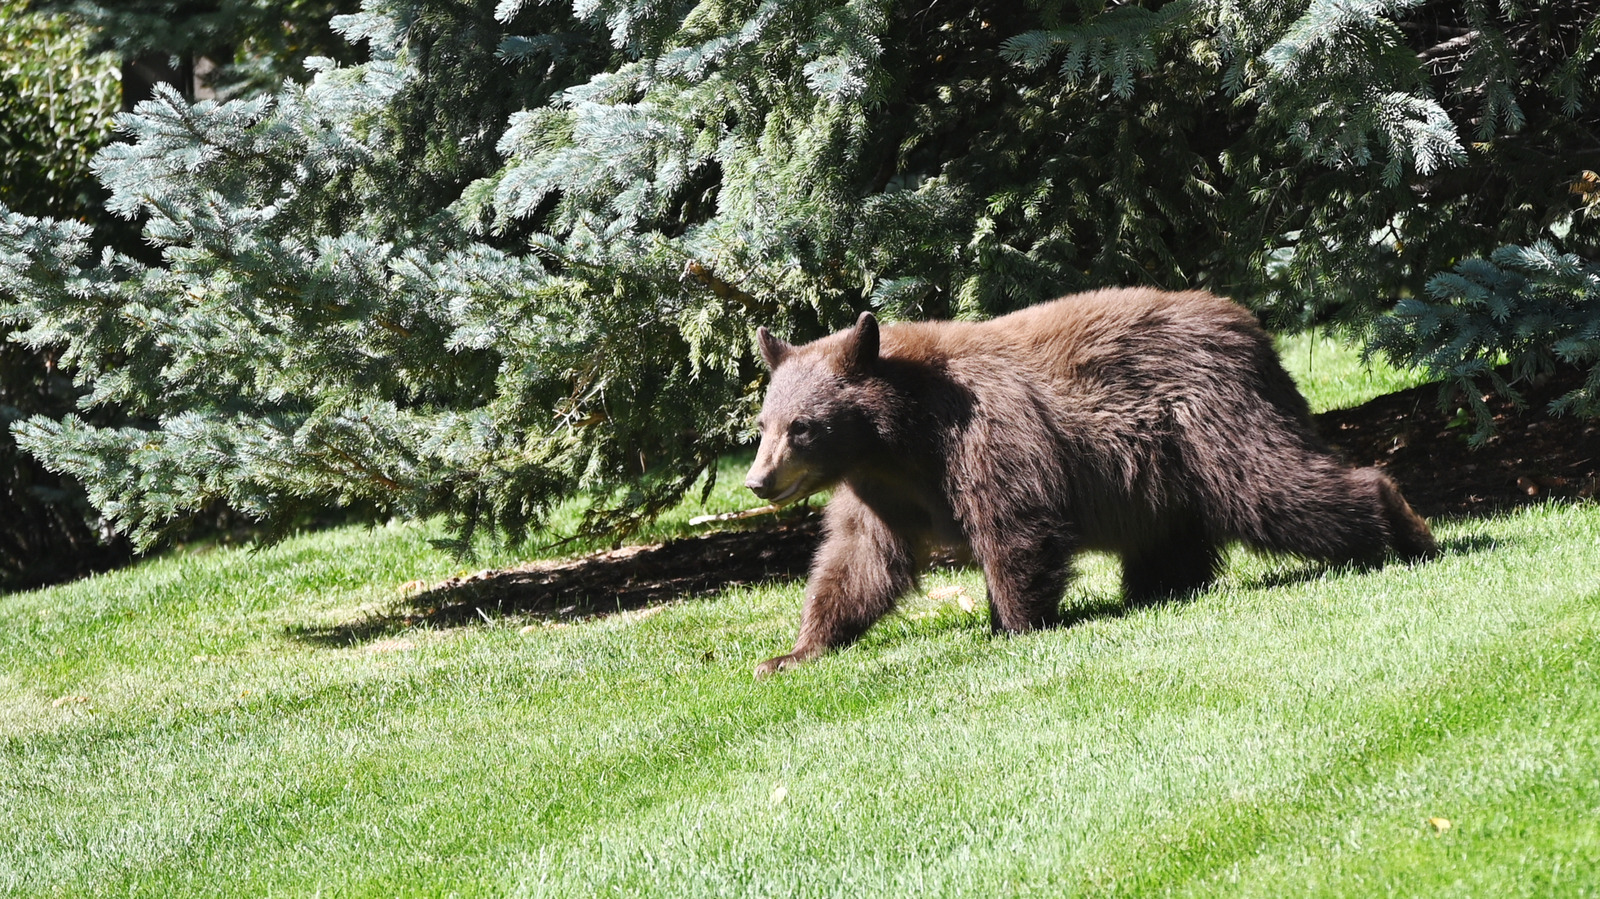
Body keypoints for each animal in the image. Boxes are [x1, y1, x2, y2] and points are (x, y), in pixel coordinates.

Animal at [743, 287, 1437, 678]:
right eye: (764, 421)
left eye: (801, 426)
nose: (756, 481)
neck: (899, 437)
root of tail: (1251, 326)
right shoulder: (880, 489)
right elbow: (857, 561)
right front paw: (792, 653)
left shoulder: (984, 438)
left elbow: (1015, 526)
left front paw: (1012, 626)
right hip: (1165, 474)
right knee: (1176, 536)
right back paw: (1161, 589)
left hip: (1213, 417)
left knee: (1272, 485)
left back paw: (1403, 530)